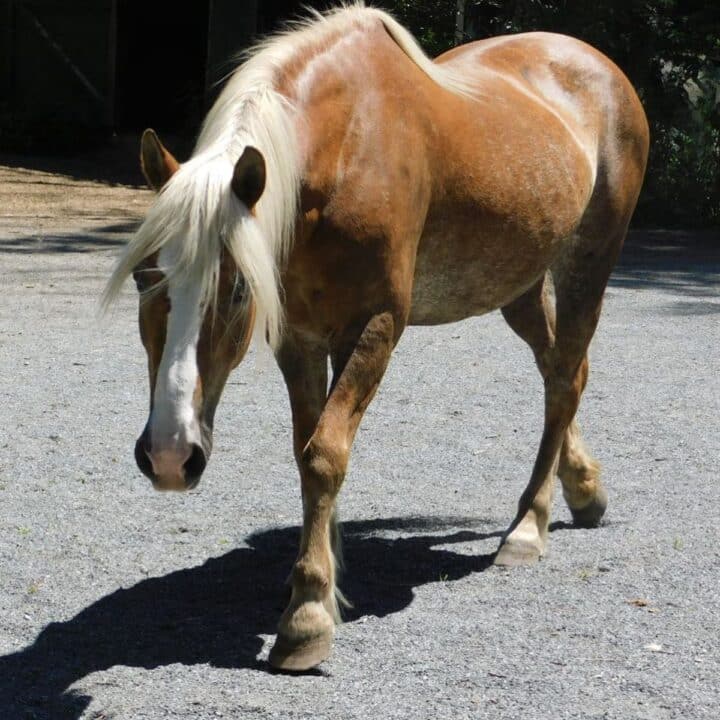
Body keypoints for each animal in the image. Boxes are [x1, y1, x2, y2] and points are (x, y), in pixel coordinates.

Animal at [103, 3, 648, 671]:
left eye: (234, 291)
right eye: (145, 278)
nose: (169, 456)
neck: (344, 151)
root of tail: (597, 65)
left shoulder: (375, 327)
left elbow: (326, 454)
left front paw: (308, 615)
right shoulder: (301, 337)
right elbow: (307, 449)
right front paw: (323, 574)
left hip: (587, 264)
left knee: (565, 379)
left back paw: (528, 526)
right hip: (516, 284)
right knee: (558, 373)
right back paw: (584, 489)